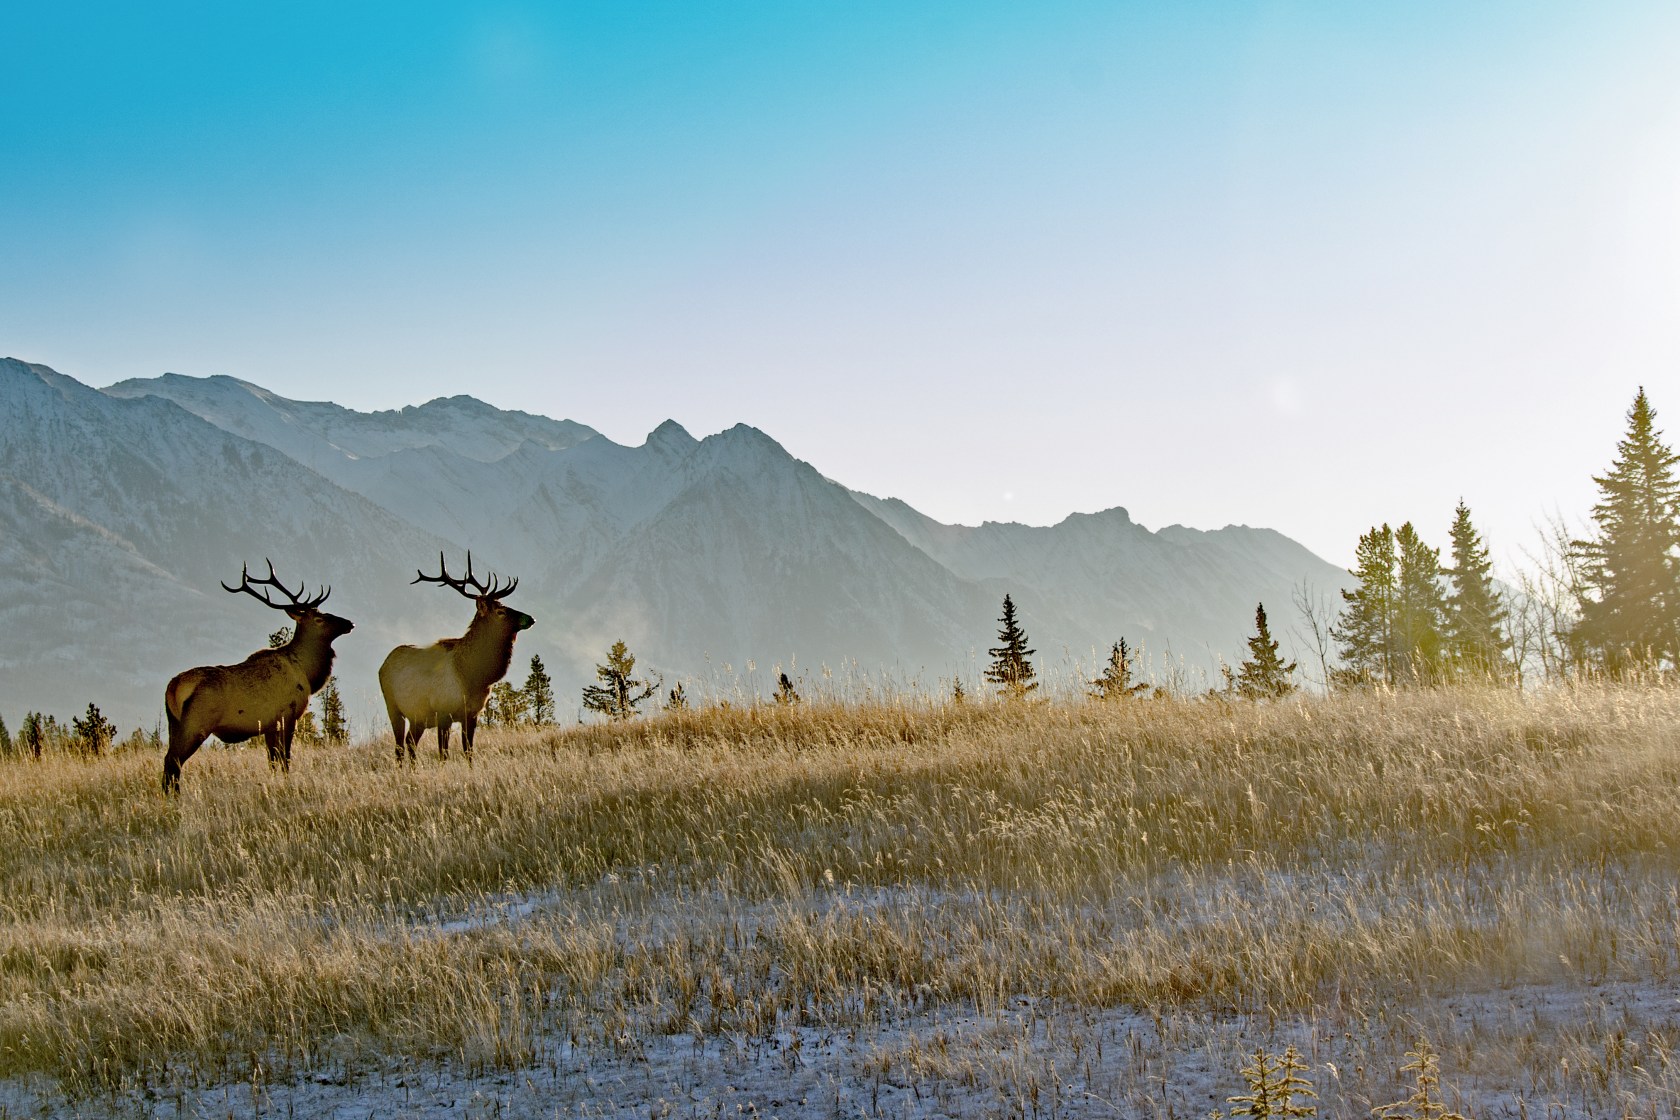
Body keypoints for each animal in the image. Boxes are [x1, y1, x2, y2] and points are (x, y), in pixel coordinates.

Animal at [162, 561, 355, 793]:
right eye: (320, 618)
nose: (349, 623)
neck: (308, 674)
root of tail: (173, 687)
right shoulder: (287, 715)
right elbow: (285, 759)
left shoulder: (270, 725)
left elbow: (272, 761)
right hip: (196, 724)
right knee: (173, 761)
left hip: (173, 724)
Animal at [379, 552, 534, 764]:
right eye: (500, 611)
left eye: (505, 605)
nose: (531, 618)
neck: (473, 677)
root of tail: (383, 664)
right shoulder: (443, 713)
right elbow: (443, 754)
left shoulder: (473, 714)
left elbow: (468, 751)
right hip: (393, 707)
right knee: (399, 746)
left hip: (418, 717)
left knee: (410, 743)